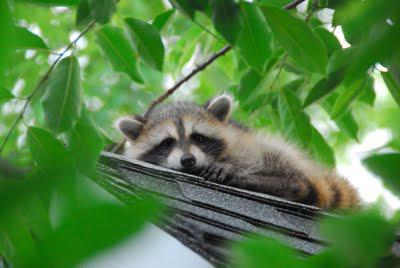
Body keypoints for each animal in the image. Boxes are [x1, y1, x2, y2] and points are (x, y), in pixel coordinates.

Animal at [115, 94, 360, 209]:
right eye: (167, 143)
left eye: (198, 137)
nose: (188, 160)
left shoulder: (244, 142)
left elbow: (248, 158)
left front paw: (228, 168)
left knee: (294, 178)